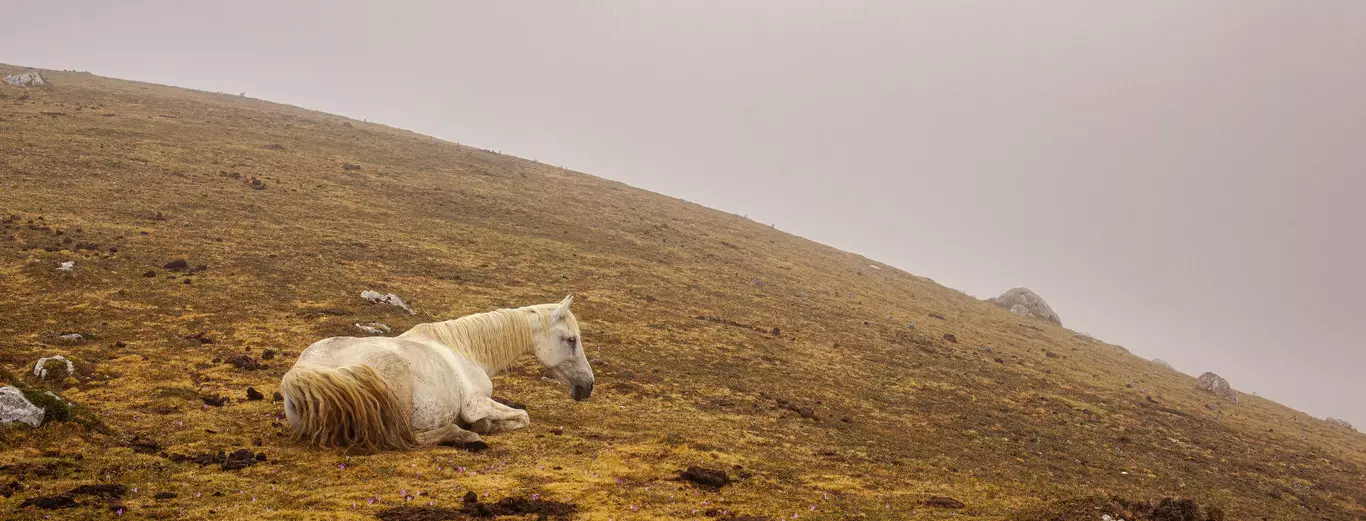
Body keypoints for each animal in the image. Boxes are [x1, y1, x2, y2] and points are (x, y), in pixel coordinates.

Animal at [280, 294, 595, 448]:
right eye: (571, 340)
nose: (588, 385)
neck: (464, 348)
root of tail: (302, 371)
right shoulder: (475, 403)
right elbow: (523, 417)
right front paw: (483, 426)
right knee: (405, 439)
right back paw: (464, 436)